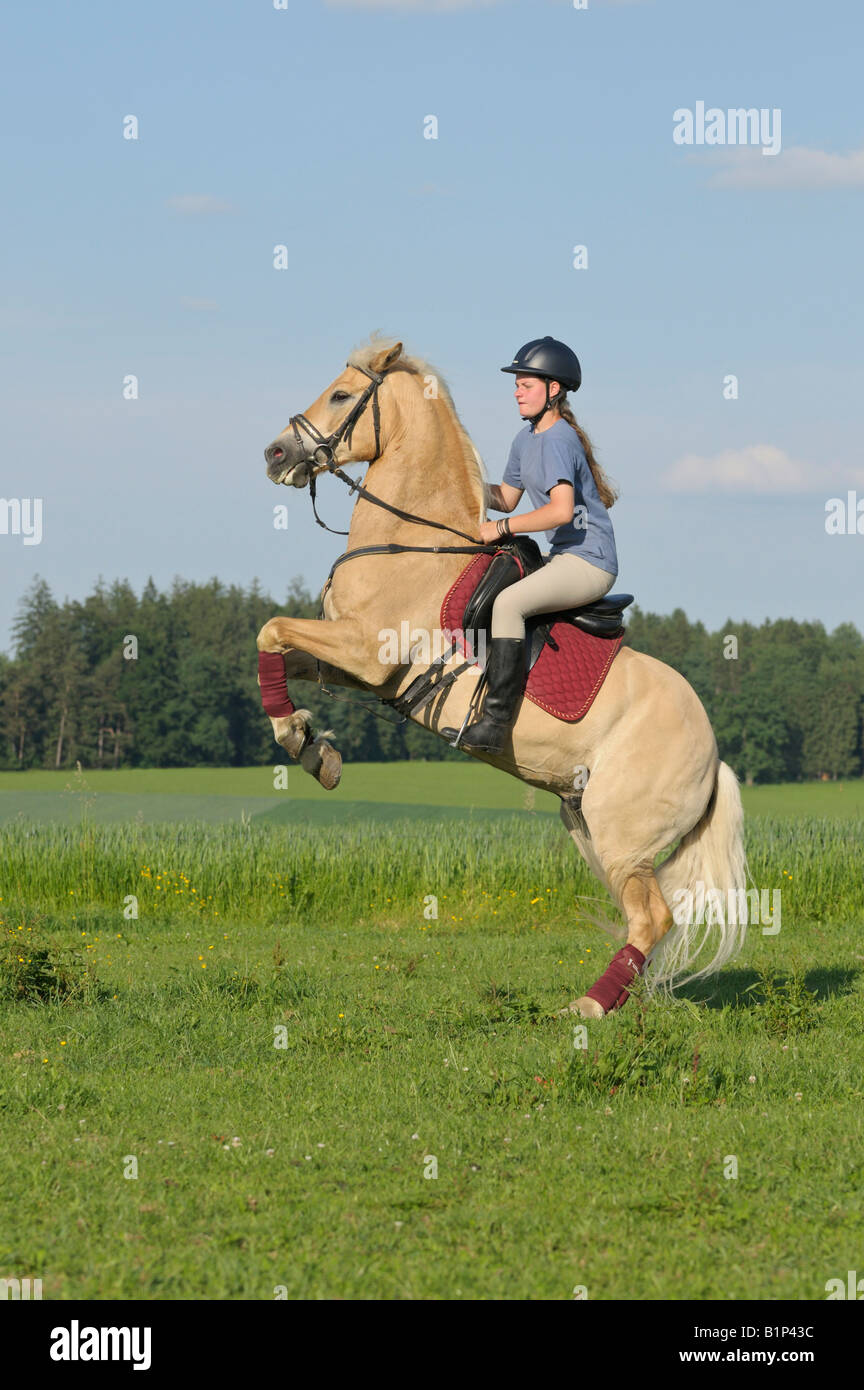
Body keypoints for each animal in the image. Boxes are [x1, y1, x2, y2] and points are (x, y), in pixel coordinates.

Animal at [256, 335, 747, 1017]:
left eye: (341, 394)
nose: (275, 453)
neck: (413, 545)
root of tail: (714, 756)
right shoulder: (356, 665)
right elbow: (276, 648)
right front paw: (309, 746)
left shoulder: (368, 654)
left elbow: (270, 629)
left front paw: (301, 741)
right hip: (588, 823)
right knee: (642, 917)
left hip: (622, 833)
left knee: (652, 917)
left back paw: (587, 1009)